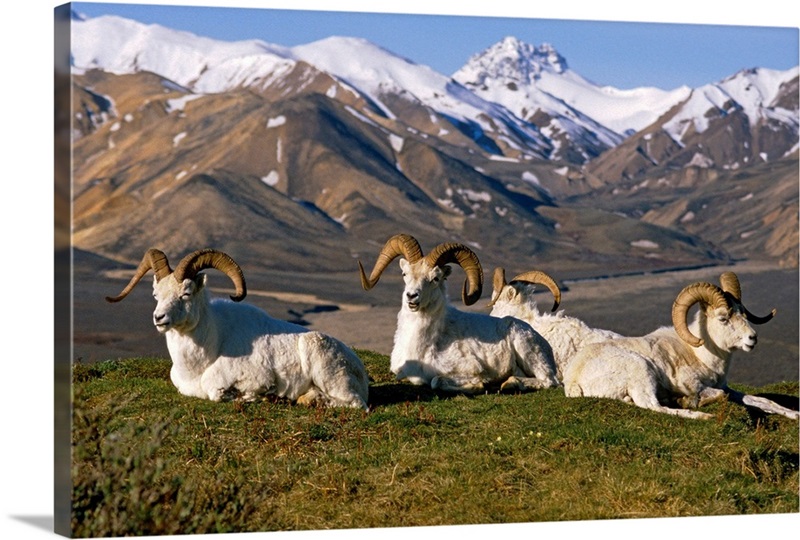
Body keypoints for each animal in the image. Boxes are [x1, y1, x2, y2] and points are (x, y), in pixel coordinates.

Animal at [106, 248, 369, 410]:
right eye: (156, 295)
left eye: (186, 293)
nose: (159, 318)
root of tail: (359, 368)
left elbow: (218, 392)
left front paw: (262, 396)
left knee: (356, 404)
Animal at [357, 234, 559, 394]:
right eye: (404, 274)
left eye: (435, 278)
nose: (412, 296)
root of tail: (543, 341)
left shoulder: (468, 369)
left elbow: (436, 381)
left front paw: (479, 385)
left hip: (526, 351)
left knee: (549, 381)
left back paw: (509, 383)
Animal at [562, 271, 798, 420]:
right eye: (723, 318)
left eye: (743, 313)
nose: (752, 338)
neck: (701, 356)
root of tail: (574, 379)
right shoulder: (696, 386)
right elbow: (720, 396)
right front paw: (685, 400)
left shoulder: (725, 387)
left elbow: (761, 401)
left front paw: (795, 415)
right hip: (642, 370)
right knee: (654, 407)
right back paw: (701, 415)